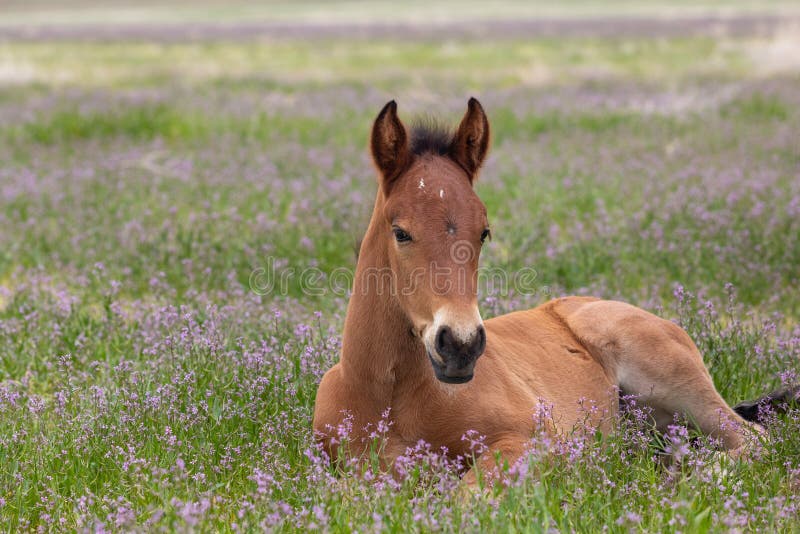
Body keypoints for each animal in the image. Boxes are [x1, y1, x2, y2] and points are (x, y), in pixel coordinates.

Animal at [312, 98, 795, 486]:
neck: (388, 395)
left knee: (753, 439)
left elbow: (467, 497)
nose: (461, 346)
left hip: (673, 382)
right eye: (400, 232)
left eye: (484, 232)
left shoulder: (535, 441)